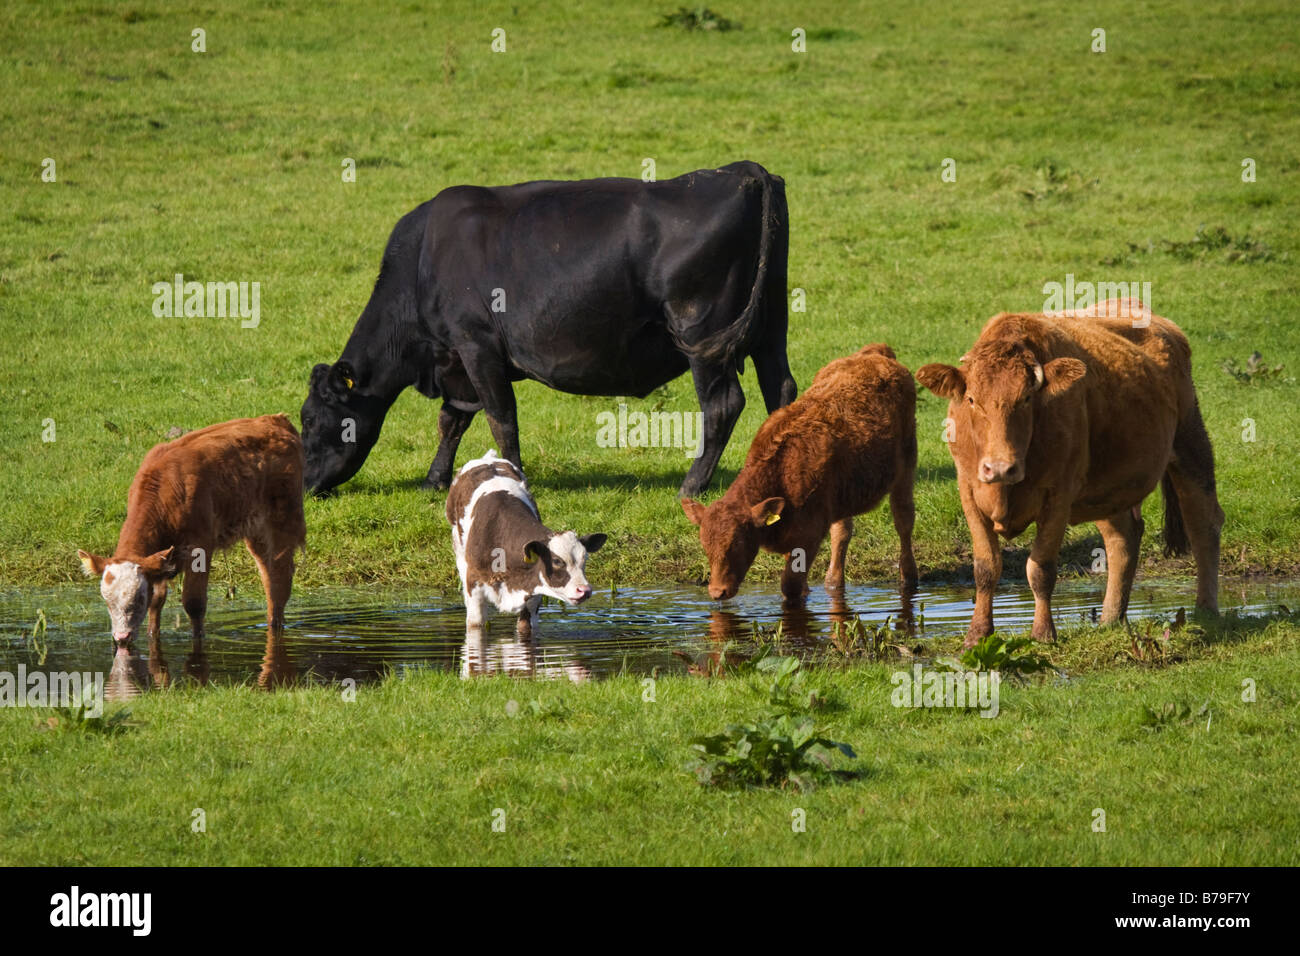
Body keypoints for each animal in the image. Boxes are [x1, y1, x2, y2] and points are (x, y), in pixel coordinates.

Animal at [77, 414, 306, 652]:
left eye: (139, 598)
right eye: (106, 600)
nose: (121, 638)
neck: (165, 491)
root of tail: (274, 419)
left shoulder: (201, 546)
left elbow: (194, 603)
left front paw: (198, 638)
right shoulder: (161, 558)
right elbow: (157, 600)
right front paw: (152, 635)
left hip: (282, 521)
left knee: (279, 579)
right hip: (255, 531)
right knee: (267, 575)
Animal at [300, 161, 796, 499]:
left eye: (309, 419)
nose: (303, 486)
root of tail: (744, 171)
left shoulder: (476, 343)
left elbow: (500, 418)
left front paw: (513, 479)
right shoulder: (456, 358)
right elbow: (452, 419)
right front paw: (434, 480)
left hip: (701, 332)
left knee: (723, 404)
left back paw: (692, 485)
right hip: (771, 325)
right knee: (782, 390)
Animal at [446, 450, 606, 638]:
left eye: (585, 560)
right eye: (557, 561)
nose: (585, 590)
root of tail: (488, 459)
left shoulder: (532, 592)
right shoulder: (474, 586)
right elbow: (475, 626)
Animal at [681, 344, 918, 605]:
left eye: (736, 543)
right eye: (705, 546)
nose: (717, 591)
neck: (782, 473)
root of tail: (873, 353)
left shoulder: (808, 536)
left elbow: (790, 585)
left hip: (907, 465)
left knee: (904, 520)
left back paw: (908, 577)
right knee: (842, 533)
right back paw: (833, 583)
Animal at [915, 300, 1223, 647]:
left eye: (1026, 398)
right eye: (971, 400)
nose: (1000, 468)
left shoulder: (1058, 495)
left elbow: (1041, 569)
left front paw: (1043, 633)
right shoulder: (968, 489)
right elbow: (985, 568)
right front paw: (977, 633)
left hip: (1190, 442)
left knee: (1203, 523)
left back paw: (1206, 611)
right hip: (1108, 487)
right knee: (1123, 539)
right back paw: (1110, 618)